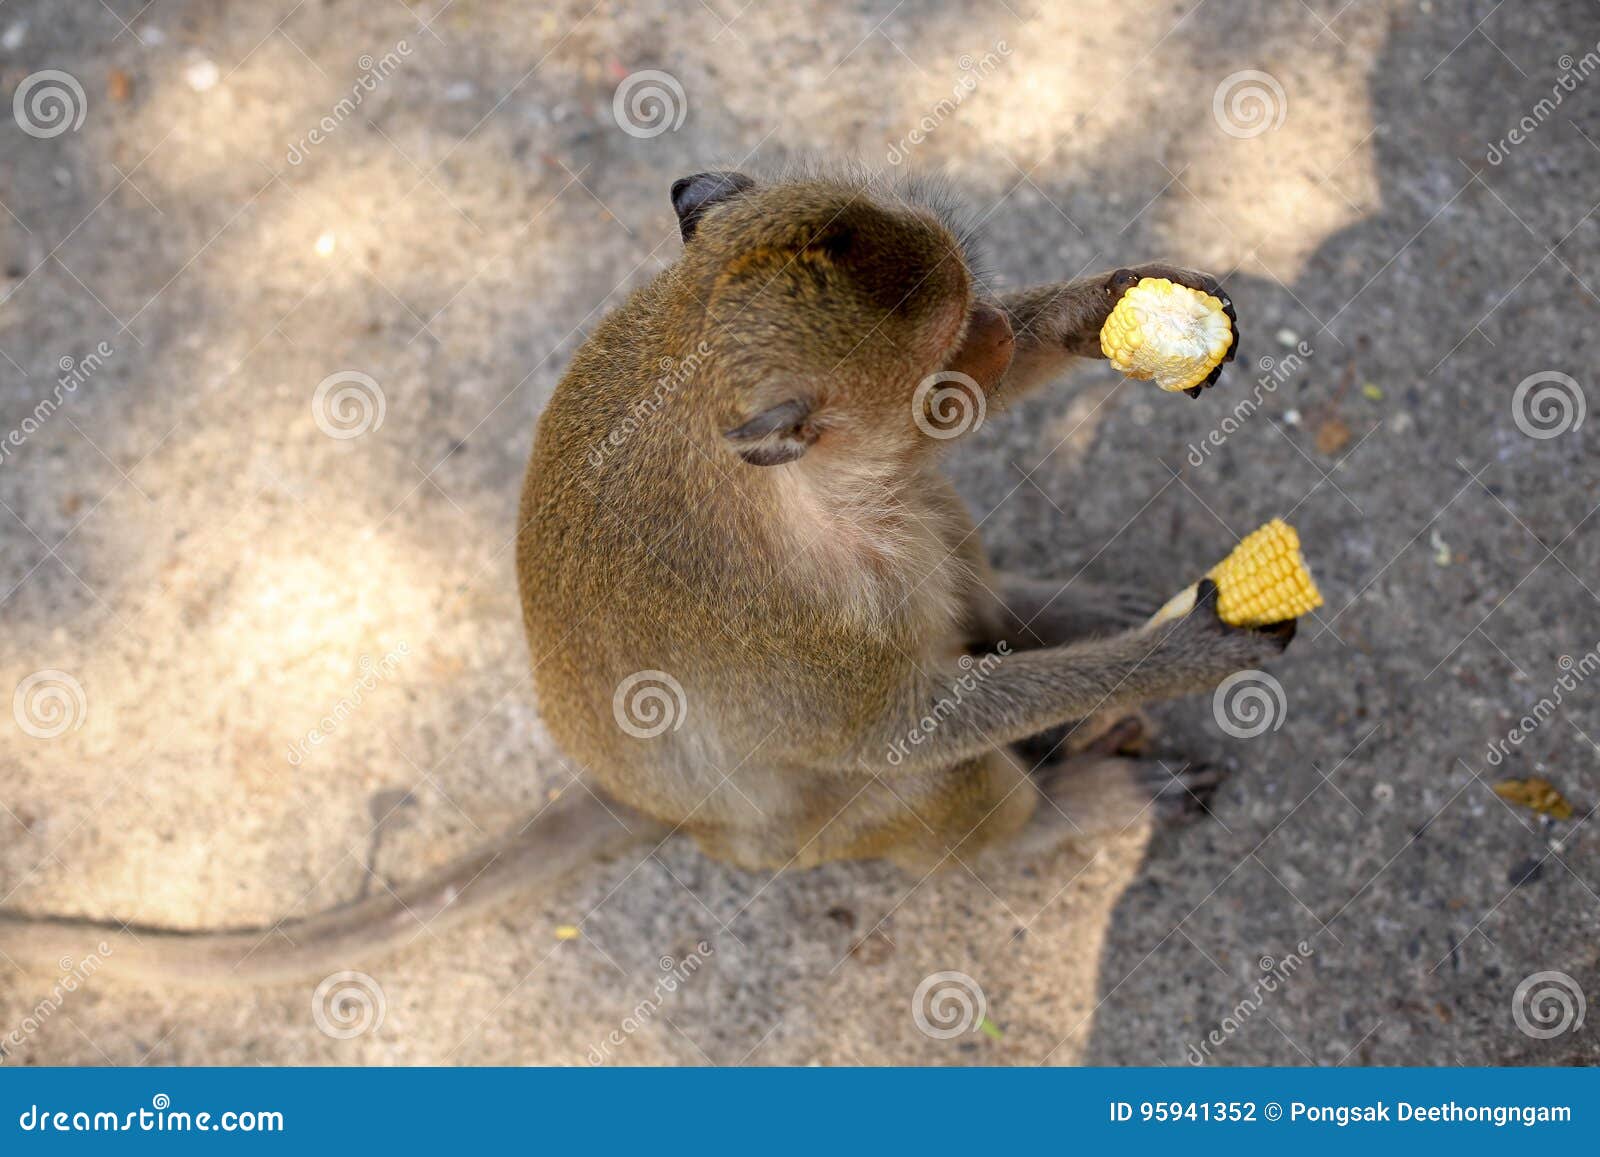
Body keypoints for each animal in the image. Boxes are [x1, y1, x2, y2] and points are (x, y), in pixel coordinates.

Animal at [0, 166, 1289, 987]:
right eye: (941, 359)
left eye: (974, 307)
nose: (991, 335)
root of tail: (660, 812)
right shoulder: (784, 625)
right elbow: (903, 728)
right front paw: (1180, 654)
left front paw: (1098, 310)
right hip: (812, 836)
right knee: (928, 763)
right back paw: (1068, 792)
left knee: (922, 514)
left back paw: (1035, 619)